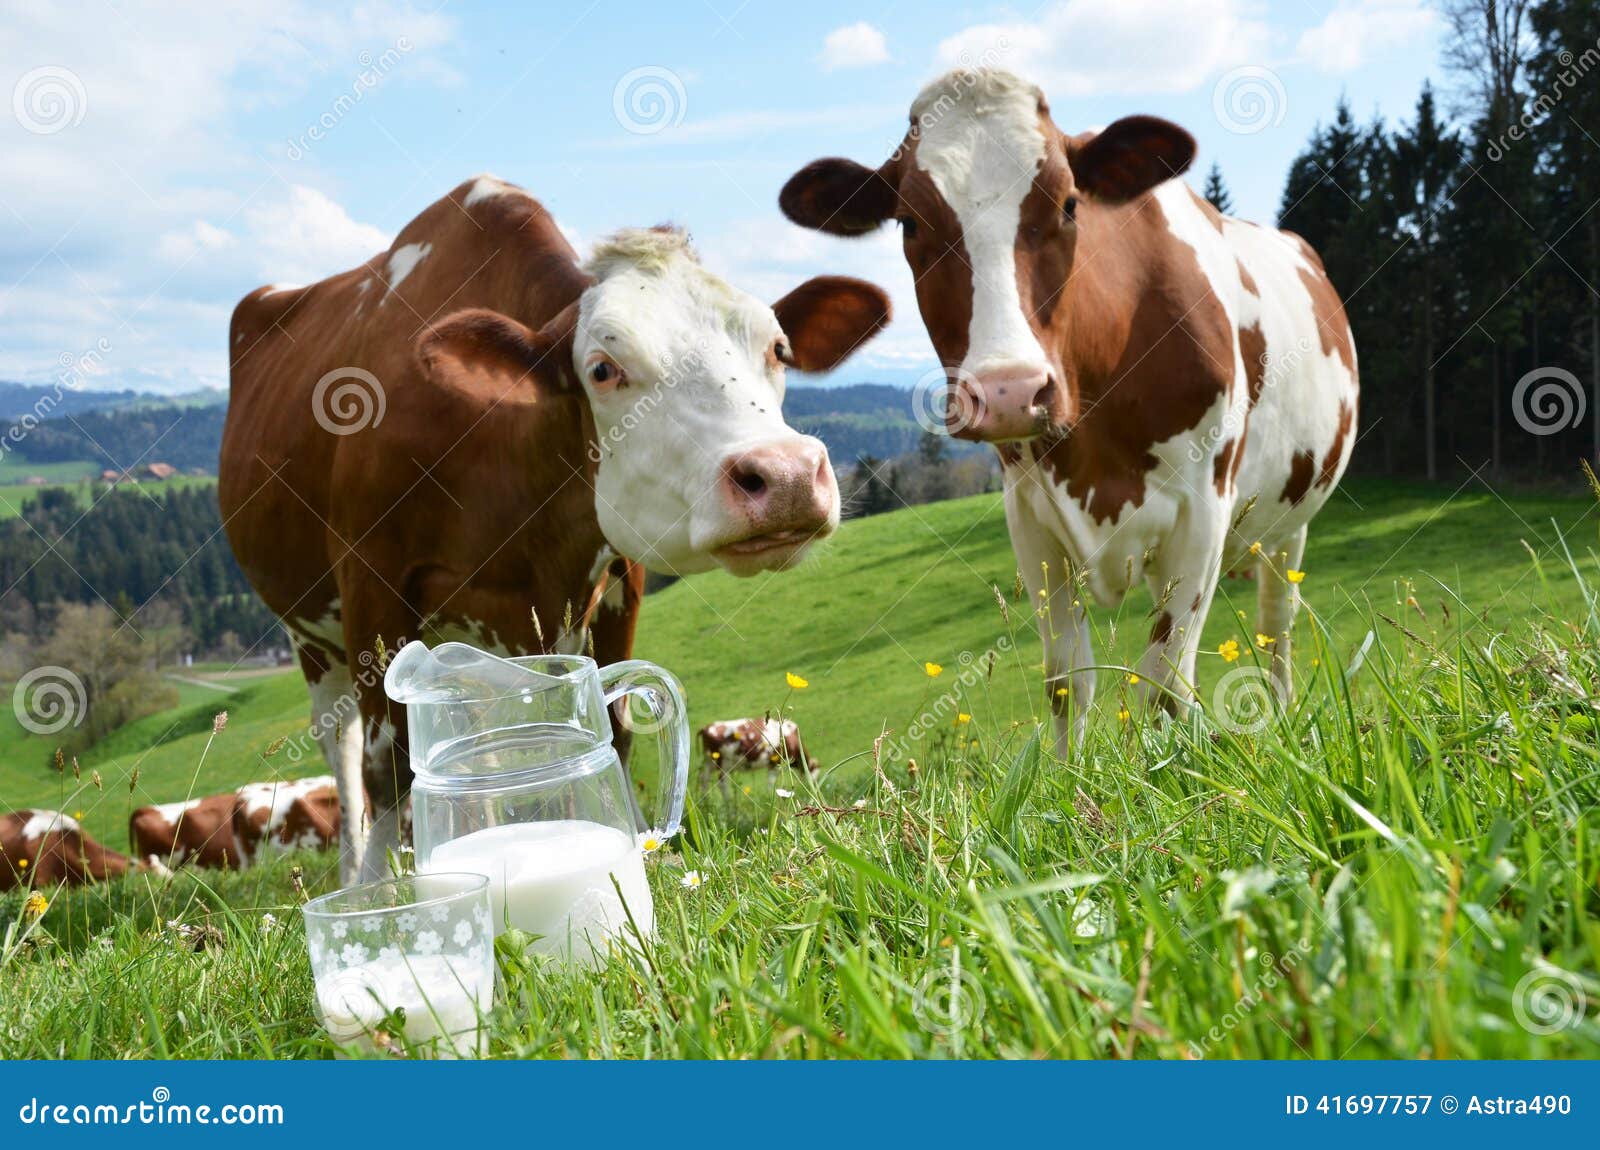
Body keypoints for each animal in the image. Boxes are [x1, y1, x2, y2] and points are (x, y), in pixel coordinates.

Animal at [222, 175, 892, 883]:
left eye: (778, 349)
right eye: (602, 368)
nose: (787, 474)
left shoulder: (619, 576)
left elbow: (615, 728)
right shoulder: (370, 580)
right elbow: (386, 768)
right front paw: (381, 890)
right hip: (309, 634)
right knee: (343, 748)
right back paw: (355, 871)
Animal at [780, 69, 1358, 753]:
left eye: (1068, 203)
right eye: (909, 224)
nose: (1009, 391)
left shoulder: (1205, 506)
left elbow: (1165, 683)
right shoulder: (1029, 515)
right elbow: (1066, 681)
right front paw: (1071, 771)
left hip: (1289, 523)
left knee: (1278, 624)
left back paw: (1281, 711)